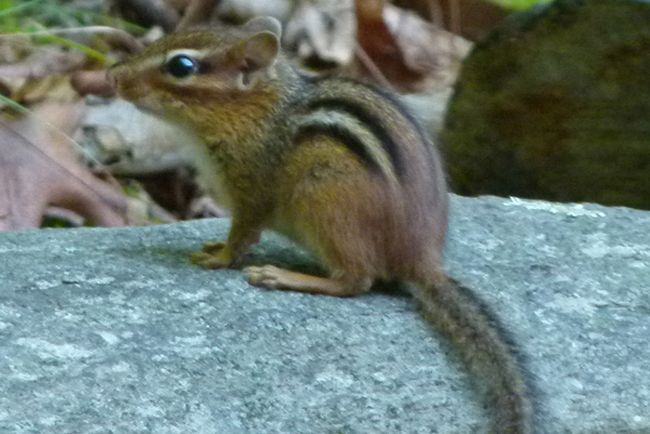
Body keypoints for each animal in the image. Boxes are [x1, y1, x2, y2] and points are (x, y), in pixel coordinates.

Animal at [109, 16, 534, 433]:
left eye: (181, 66)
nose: (114, 77)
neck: (254, 109)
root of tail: (420, 258)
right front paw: (214, 248)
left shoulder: (251, 191)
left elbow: (244, 233)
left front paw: (221, 257)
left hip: (325, 203)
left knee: (356, 280)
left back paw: (285, 277)